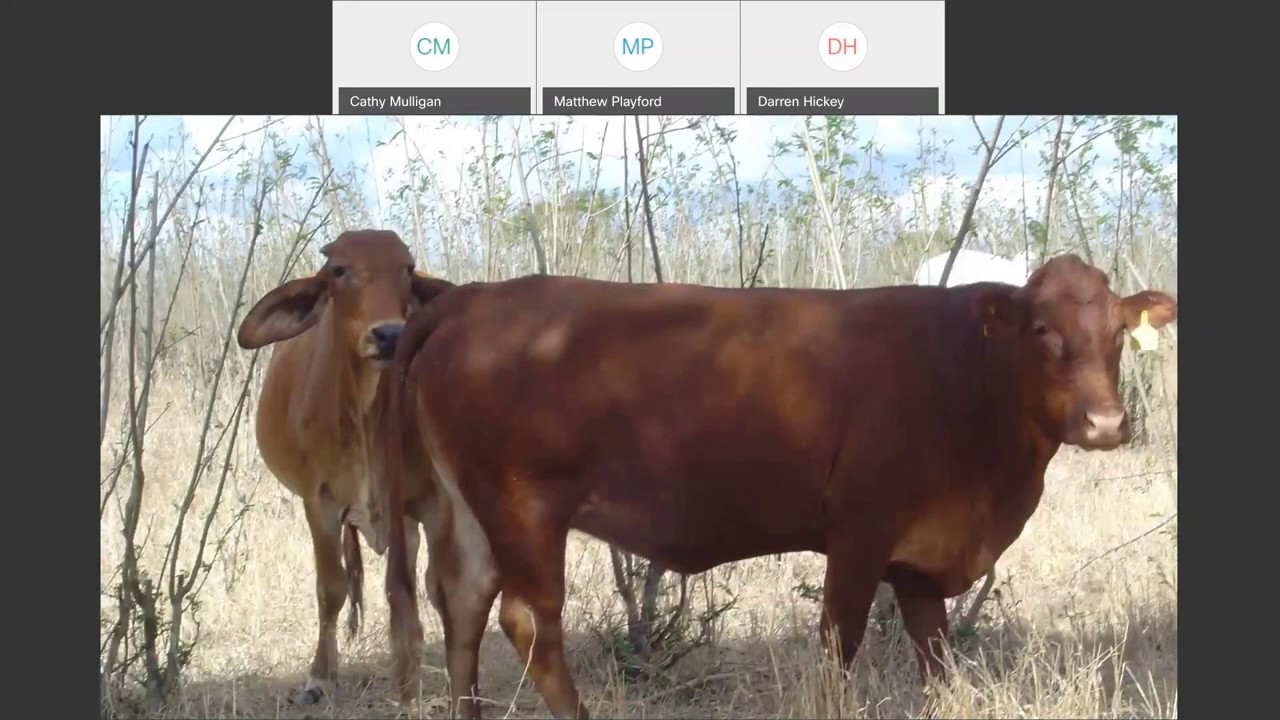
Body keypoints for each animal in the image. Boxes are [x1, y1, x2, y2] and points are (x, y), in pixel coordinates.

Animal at [235, 229, 454, 705]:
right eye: (338, 270)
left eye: (407, 269)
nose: (389, 334)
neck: (364, 413)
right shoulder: (319, 502)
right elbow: (330, 589)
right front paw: (320, 676)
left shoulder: (420, 504)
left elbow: (413, 593)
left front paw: (412, 688)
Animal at [381, 254, 1177, 719]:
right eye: (1043, 330)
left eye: (1117, 333)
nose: (1107, 422)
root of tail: (472, 299)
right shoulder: (859, 533)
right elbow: (838, 644)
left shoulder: (922, 557)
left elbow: (939, 659)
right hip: (524, 506)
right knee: (528, 621)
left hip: (469, 512)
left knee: (462, 605)